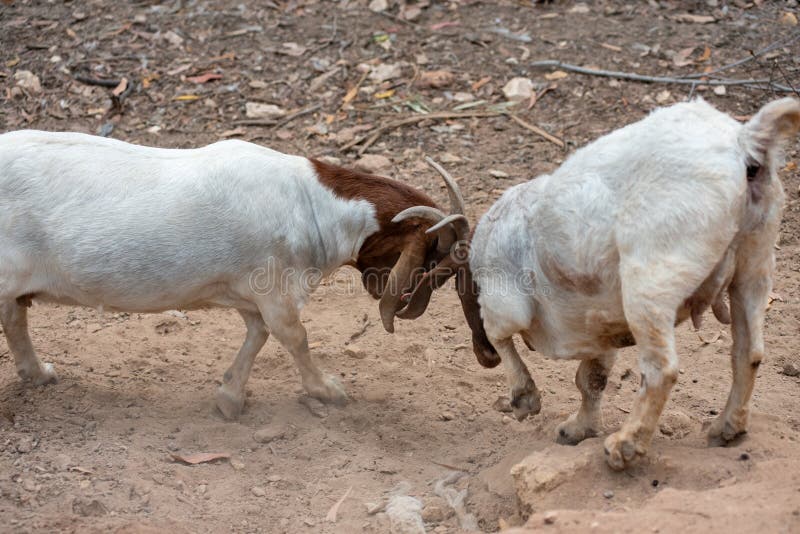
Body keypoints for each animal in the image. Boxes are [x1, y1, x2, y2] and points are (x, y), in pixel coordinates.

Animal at [0, 131, 467, 419]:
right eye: (434, 260)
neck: (312, 206)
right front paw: (327, 390)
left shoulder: (249, 293)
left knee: (14, 318)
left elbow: (257, 335)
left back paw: (38, 374)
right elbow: (295, 337)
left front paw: (229, 398)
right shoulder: (276, 289)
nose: (385, 293)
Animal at [462, 98, 800, 469]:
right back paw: (726, 428)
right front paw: (577, 429)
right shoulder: (598, 331)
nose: (483, 358)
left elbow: (500, 335)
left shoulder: (504, 303)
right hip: (755, 264)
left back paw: (625, 445)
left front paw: (525, 398)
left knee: (661, 370)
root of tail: (743, 141)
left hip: (649, 284)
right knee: (748, 350)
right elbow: (591, 379)